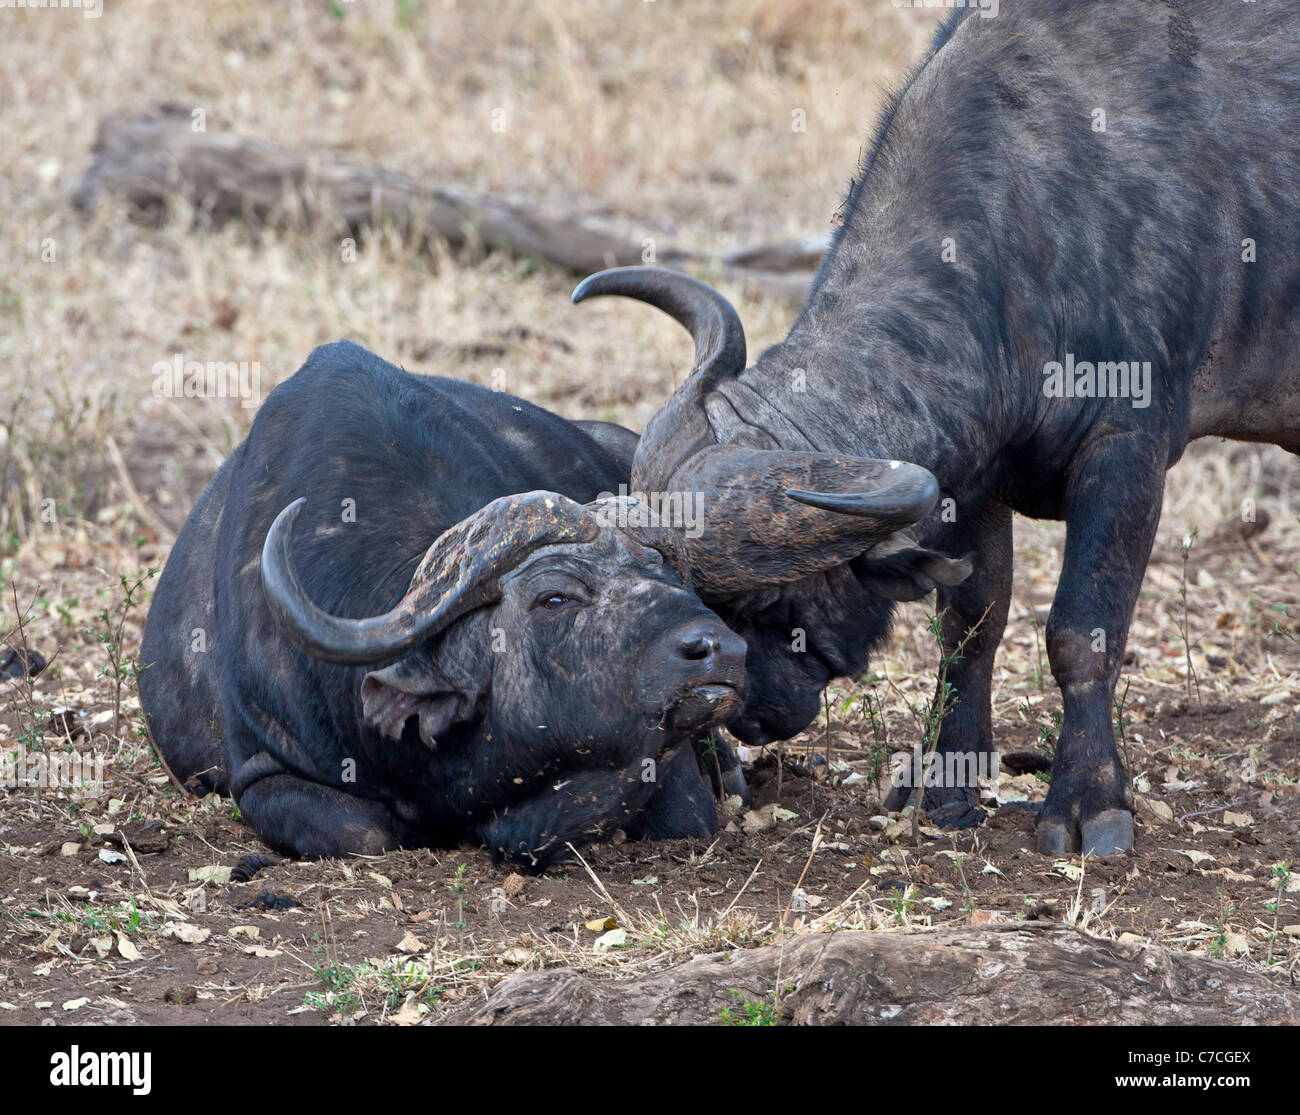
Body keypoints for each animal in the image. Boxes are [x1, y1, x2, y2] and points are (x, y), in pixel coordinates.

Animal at [572, 0, 1300, 857]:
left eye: (770, 600)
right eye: (692, 597)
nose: (750, 713)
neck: (1040, 212)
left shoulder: (1129, 452)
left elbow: (1080, 632)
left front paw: (1087, 802)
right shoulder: (974, 479)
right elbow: (970, 627)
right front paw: (946, 787)